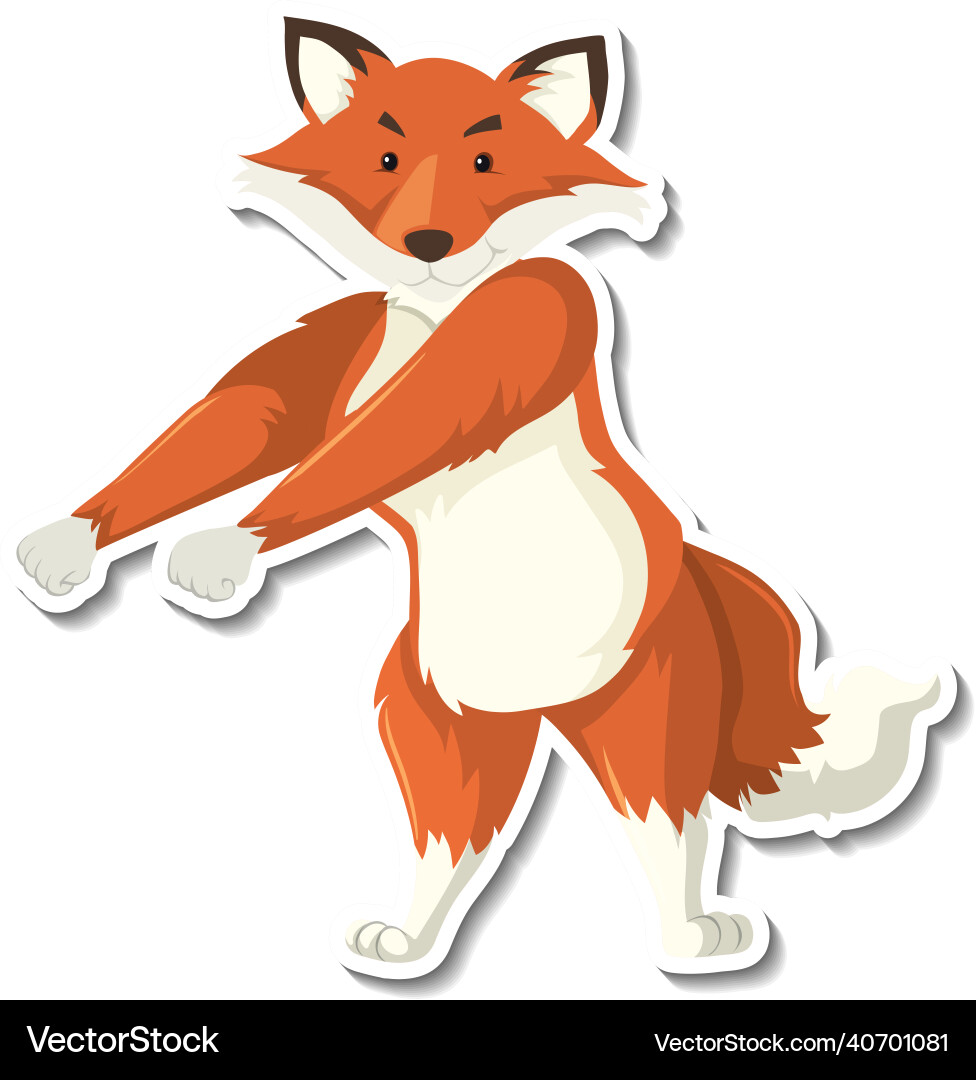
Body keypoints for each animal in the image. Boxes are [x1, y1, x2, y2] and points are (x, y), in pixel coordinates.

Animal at [13, 16, 955, 978]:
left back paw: (697, 937)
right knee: (455, 844)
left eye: (484, 163)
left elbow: (368, 446)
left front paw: (222, 547)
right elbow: (243, 421)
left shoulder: (524, 324)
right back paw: (405, 943)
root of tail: (544, 704)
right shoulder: (339, 345)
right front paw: (72, 541)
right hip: (448, 734)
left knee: (672, 829)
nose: (429, 243)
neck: (440, 310)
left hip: (646, 723)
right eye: (386, 159)